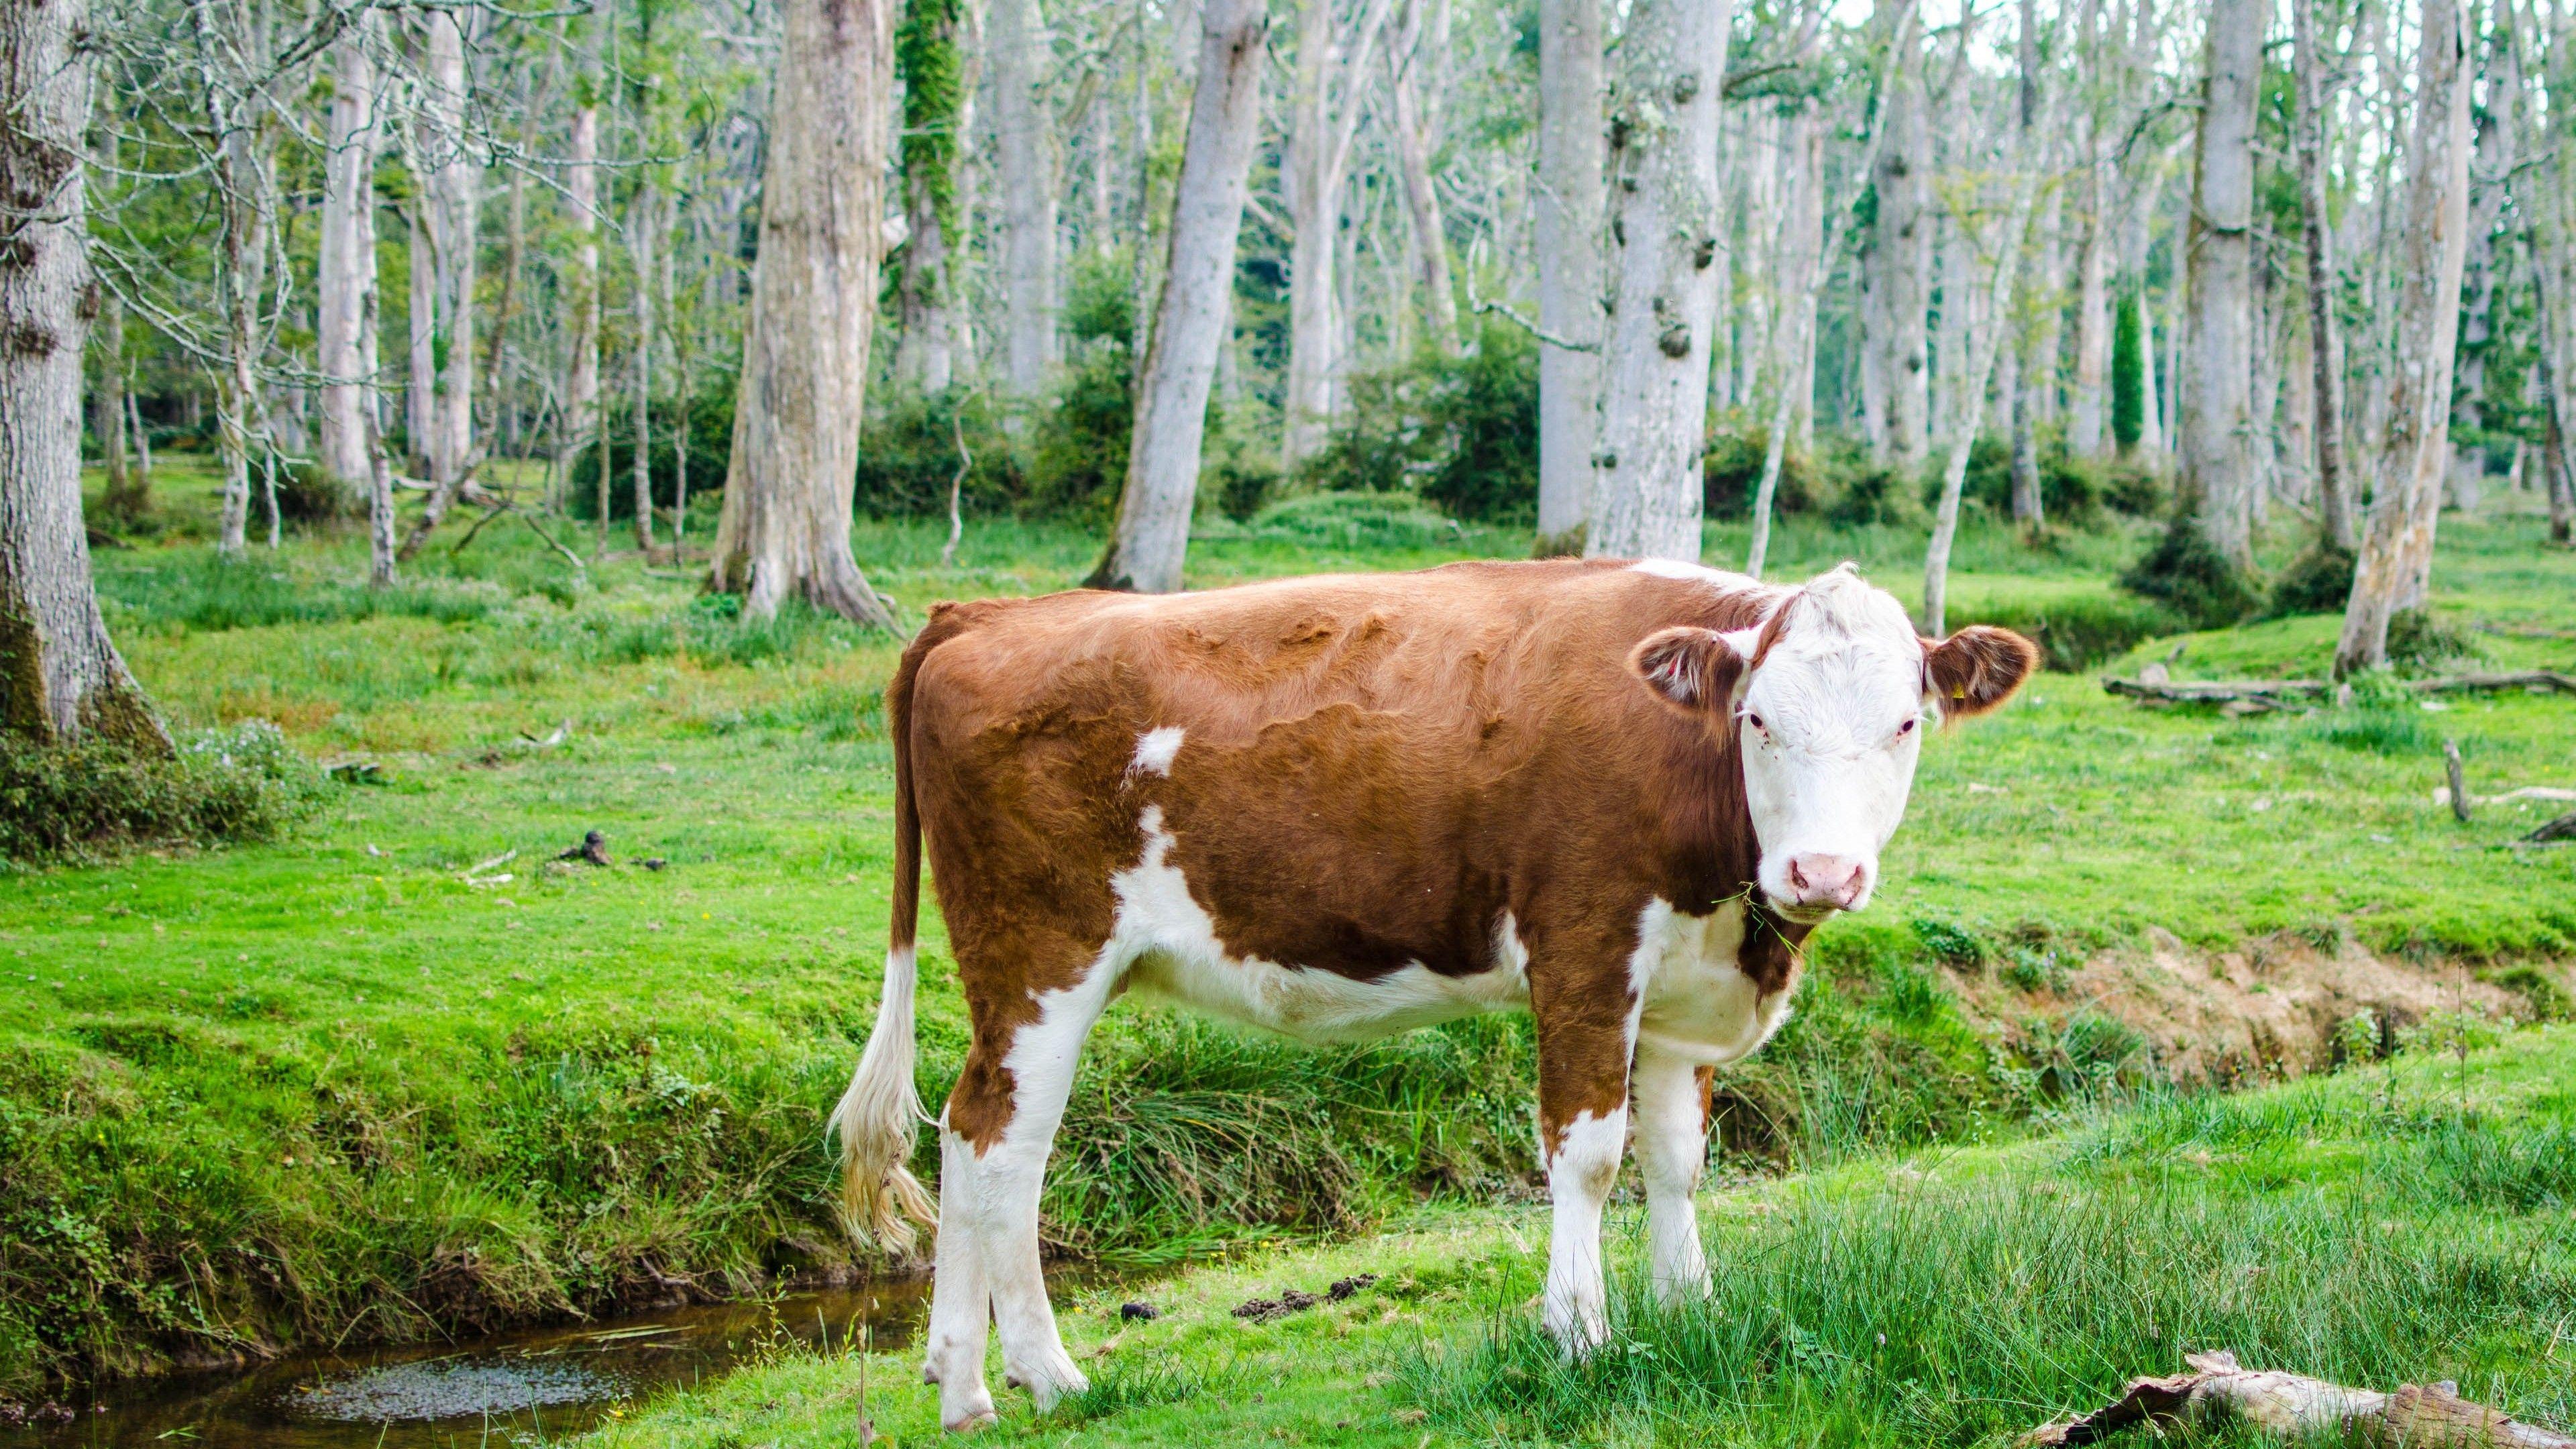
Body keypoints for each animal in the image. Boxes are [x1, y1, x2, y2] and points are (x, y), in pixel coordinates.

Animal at [828, 558, 2036, 1430]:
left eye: (1906, 723)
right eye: (1758, 722)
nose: (1821, 873)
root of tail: (988, 613)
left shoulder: (1682, 990)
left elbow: (1679, 1162)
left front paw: (1692, 1308)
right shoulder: (1584, 954)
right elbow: (1590, 1159)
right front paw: (1581, 1338)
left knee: (965, 1130)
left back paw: (959, 1372)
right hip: (1042, 957)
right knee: (1004, 1144)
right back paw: (1029, 1378)